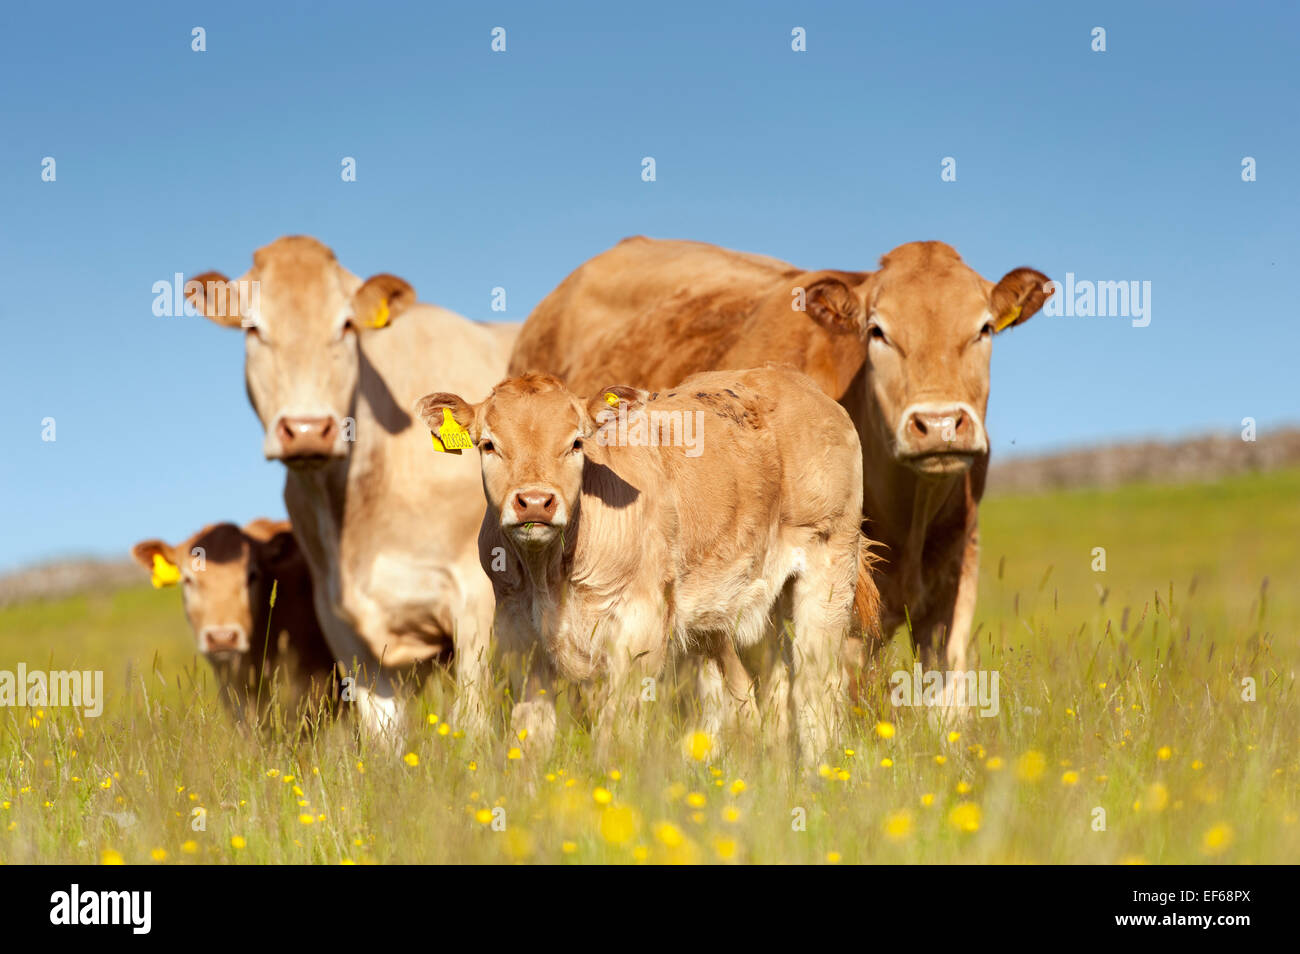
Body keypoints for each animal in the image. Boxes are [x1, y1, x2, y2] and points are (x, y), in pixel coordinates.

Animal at [185, 236, 511, 738]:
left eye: (345, 326)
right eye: (254, 328)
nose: (306, 429)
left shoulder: (475, 594)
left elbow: (471, 719)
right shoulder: (343, 623)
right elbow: (385, 735)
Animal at [415, 367, 879, 764]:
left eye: (576, 443)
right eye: (489, 444)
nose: (534, 502)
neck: (552, 576)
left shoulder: (640, 627)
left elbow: (615, 733)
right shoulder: (518, 633)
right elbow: (530, 736)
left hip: (829, 567)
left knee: (816, 686)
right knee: (757, 694)